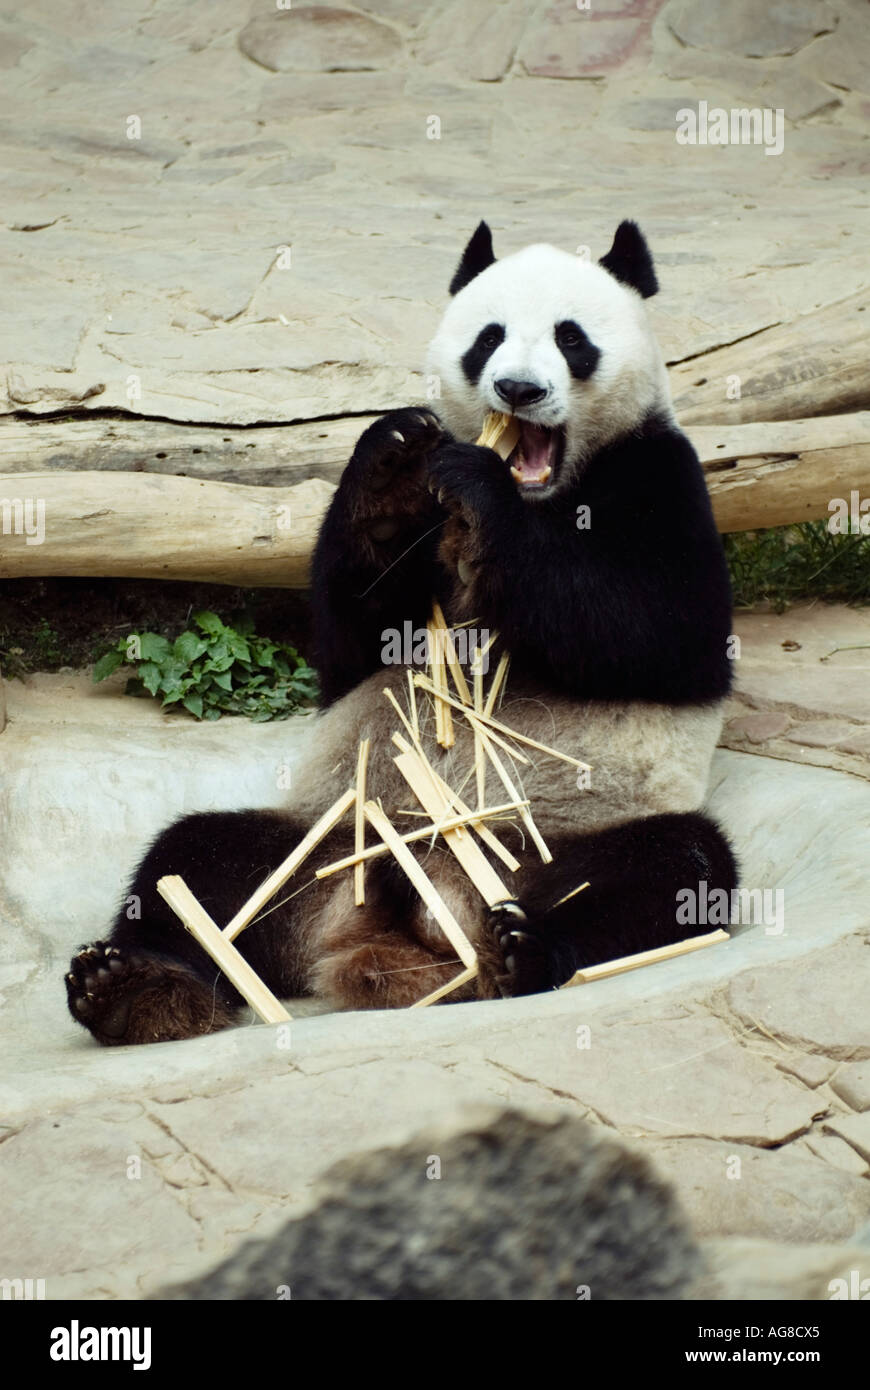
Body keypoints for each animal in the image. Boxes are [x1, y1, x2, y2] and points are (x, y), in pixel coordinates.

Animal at [65, 219, 738, 1046]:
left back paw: (526, 953)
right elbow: (351, 639)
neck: (547, 489)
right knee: (191, 864)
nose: (518, 391)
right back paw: (135, 990)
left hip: (553, 841)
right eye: (489, 338)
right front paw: (391, 460)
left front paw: (481, 487)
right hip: (327, 839)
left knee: (674, 874)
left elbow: (662, 634)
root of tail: (423, 909)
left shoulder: (661, 474)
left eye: (571, 338)